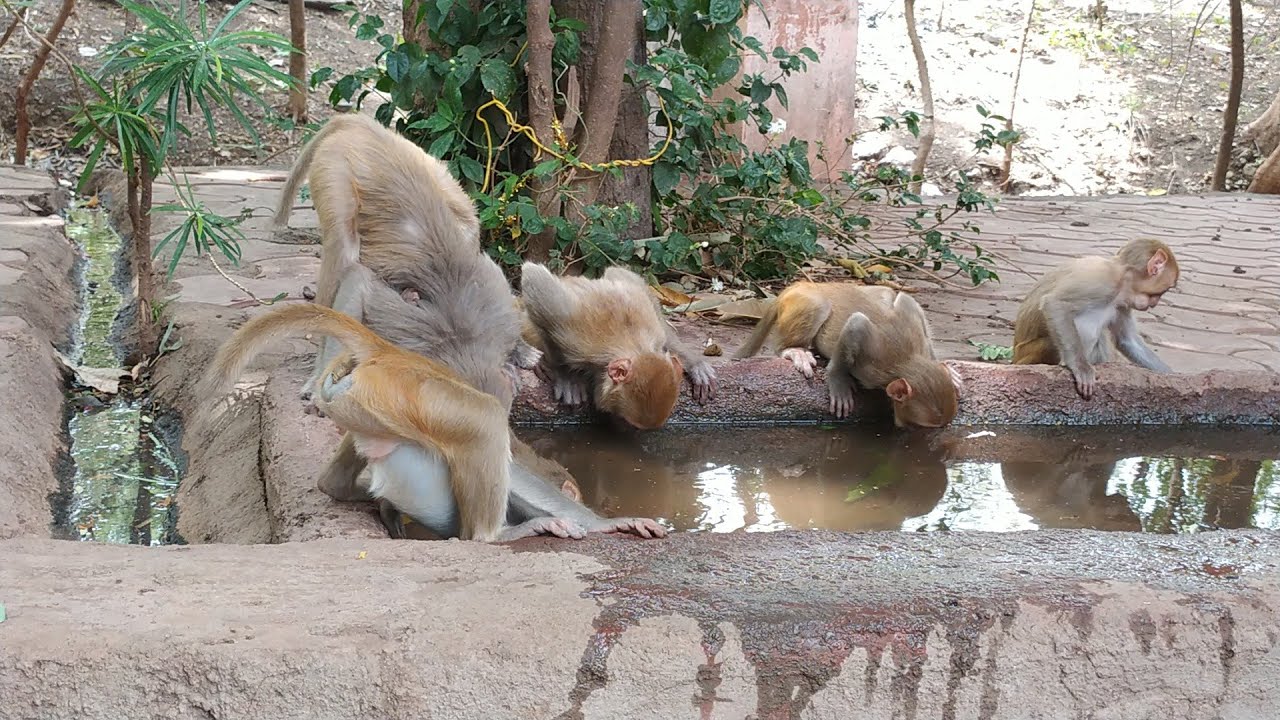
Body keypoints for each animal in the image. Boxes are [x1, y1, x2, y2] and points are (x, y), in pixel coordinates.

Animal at [518, 263, 717, 430]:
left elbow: (620, 275)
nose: (621, 428)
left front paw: (694, 364)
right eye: (625, 421)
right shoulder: (577, 335)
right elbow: (534, 279)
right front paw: (566, 375)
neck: (635, 346)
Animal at [733, 282, 958, 428]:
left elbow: (906, 300)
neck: (908, 361)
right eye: (920, 428)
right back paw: (794, 350)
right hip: (803, 302)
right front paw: (838, 382)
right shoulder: (874, 365)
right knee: (820, 306)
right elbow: (857, 325)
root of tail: (802, 285)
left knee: (891, 294)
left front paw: (947, 369)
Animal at [1012, 237, 1178, 400]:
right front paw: (1080, 367)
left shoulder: (1122, 303)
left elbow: (1127, 340)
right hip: (1031, 353)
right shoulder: (1102, 281)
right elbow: (1054, 304)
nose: (1154, 303)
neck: (1122, 275)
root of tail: (1015, 358)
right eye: (1165, 290)